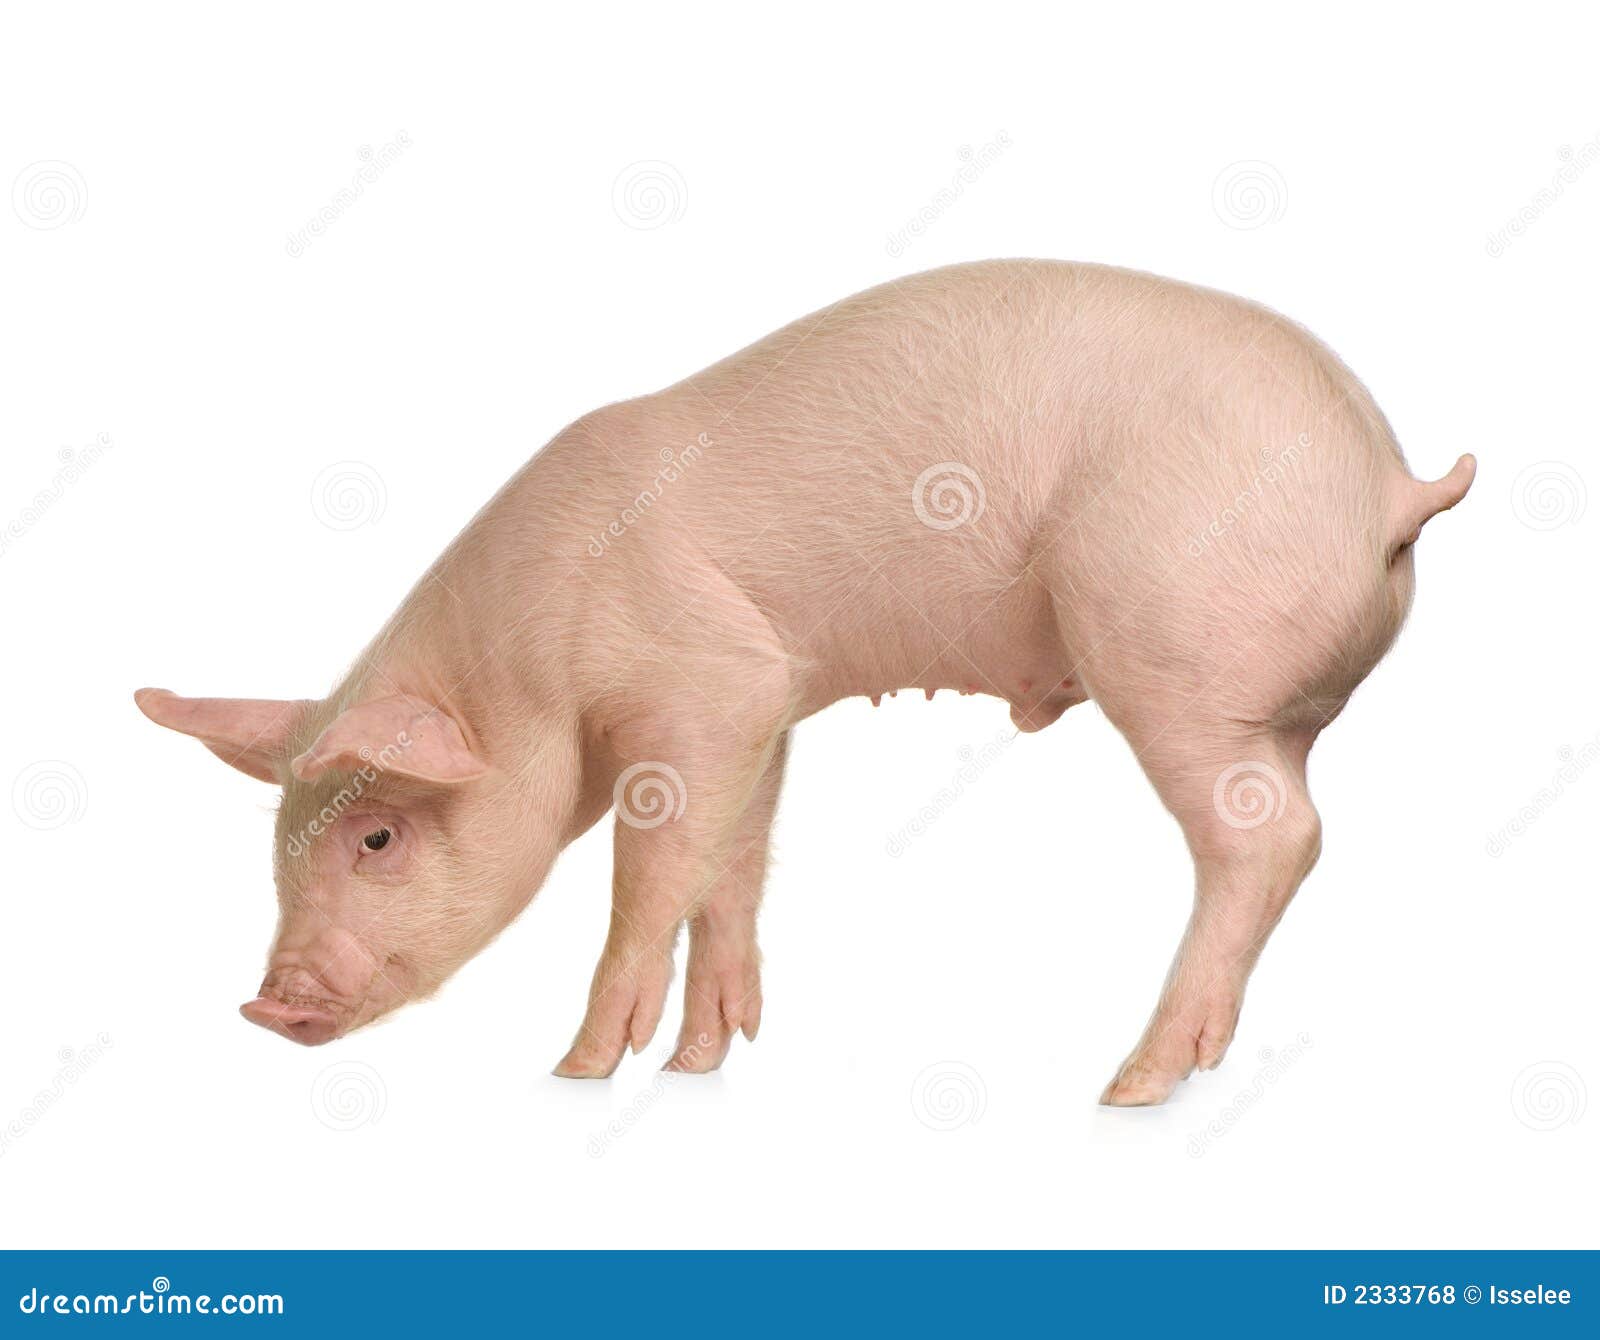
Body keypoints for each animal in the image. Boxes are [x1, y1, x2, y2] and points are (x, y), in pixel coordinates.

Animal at [135, 260, 1473, 1105]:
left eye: (375, 835)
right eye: (276, 849)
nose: (266, 1006)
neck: (529, 668)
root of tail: (1391, 483)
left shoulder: (707, 678)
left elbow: (649, 875)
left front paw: (580, 1068)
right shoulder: (767, 704)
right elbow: (728, 867)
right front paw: (700, 1060)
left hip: (1172, 647)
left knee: (1275, 835)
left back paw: (1135, 1084)